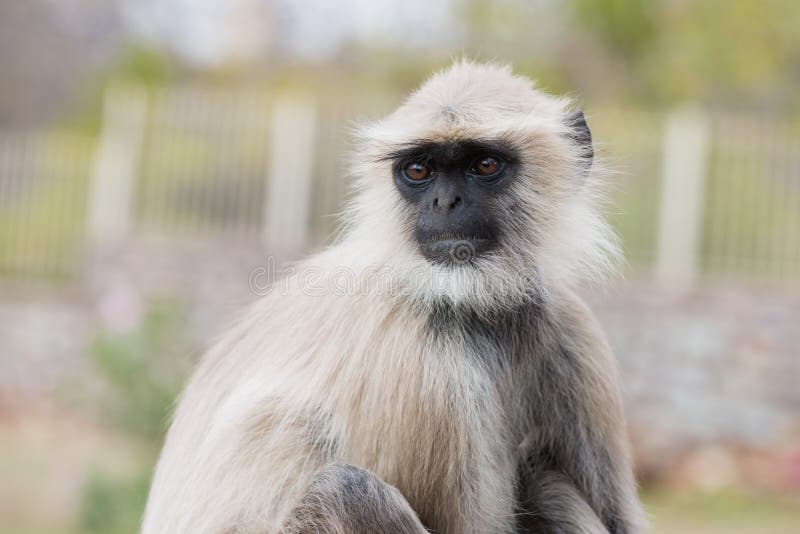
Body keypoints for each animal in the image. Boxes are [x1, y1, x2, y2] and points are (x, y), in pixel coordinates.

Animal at [142, 60, 645, 534]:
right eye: (418, 170)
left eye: (484, 165)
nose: (444, 203)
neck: (471, 304)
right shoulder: (422, 369)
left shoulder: (568, 325)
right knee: (351, 490)